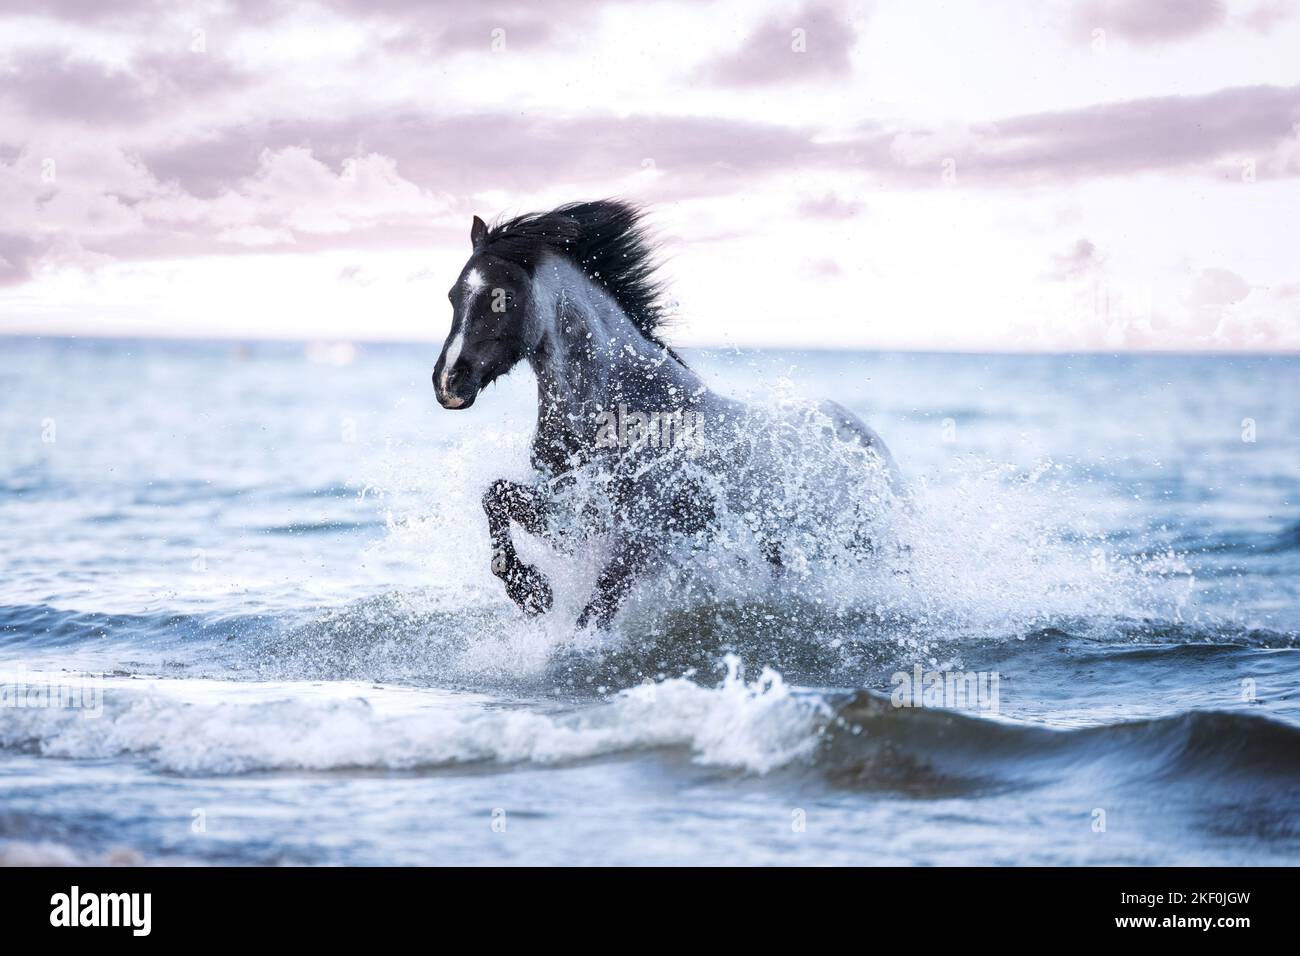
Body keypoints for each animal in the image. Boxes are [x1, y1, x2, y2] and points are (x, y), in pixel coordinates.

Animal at [432, 200, 904, 630]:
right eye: (453, 296)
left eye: (504, 298)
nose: (448, 383)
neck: (622, 413)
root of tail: (876, 448)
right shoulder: (578, 517)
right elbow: (496, 496)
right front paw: (532, 591)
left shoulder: (642, 542)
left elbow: (594, 615)